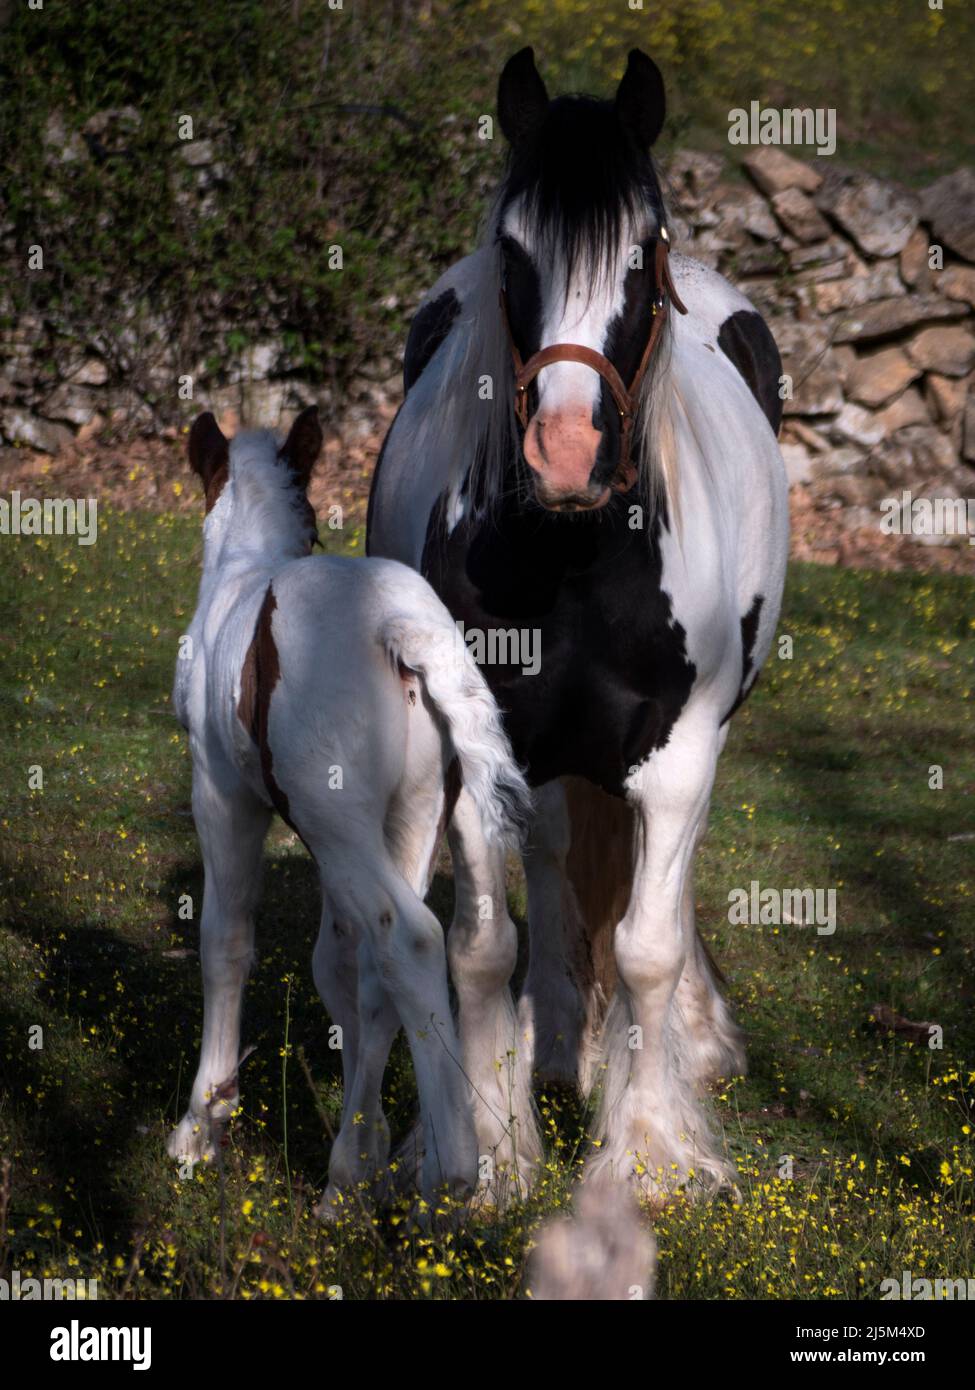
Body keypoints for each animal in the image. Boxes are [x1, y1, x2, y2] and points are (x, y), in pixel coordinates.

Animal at [167, 406, 532, 1209]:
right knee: (462, 945)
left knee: (412, 940)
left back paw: (449, 1170)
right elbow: (340, 969)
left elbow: (225, 941)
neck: (243, 572)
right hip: (432, 815)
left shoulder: (221, 792)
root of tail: (401, 625)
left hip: (341, 823)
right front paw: (359, 1164)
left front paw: (200, 1127)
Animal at [367, 48, 789, 1203]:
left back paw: (685, 1041)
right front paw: (489, 1152)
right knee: (558, 861)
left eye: (642, 251)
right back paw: (561, 1046)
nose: (564, 452)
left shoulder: (682, 750)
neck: (573, 562)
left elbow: (644, 943)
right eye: (514, 251)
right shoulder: (479, 748)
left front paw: (650, 1155)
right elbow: (479, 945)